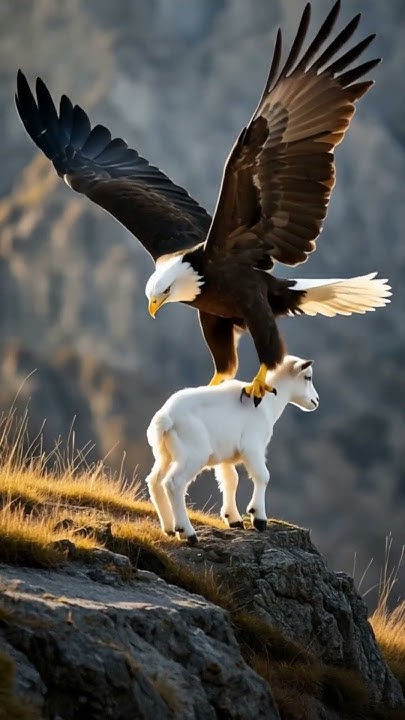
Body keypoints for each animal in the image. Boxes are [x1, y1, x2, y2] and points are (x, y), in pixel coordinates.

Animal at [145, 356, 319, 543]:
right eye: (307, 377)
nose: (316, 401)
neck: (269, 403)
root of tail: (166, 417)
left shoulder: (224, 456)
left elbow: (230, 480)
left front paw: (233, 519)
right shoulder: (253, 446)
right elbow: (263, 476)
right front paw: (258, 518)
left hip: (166, 454)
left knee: (155, 481)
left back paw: (169, 528)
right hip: (193, 453)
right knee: (173, 484)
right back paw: (187, 532)